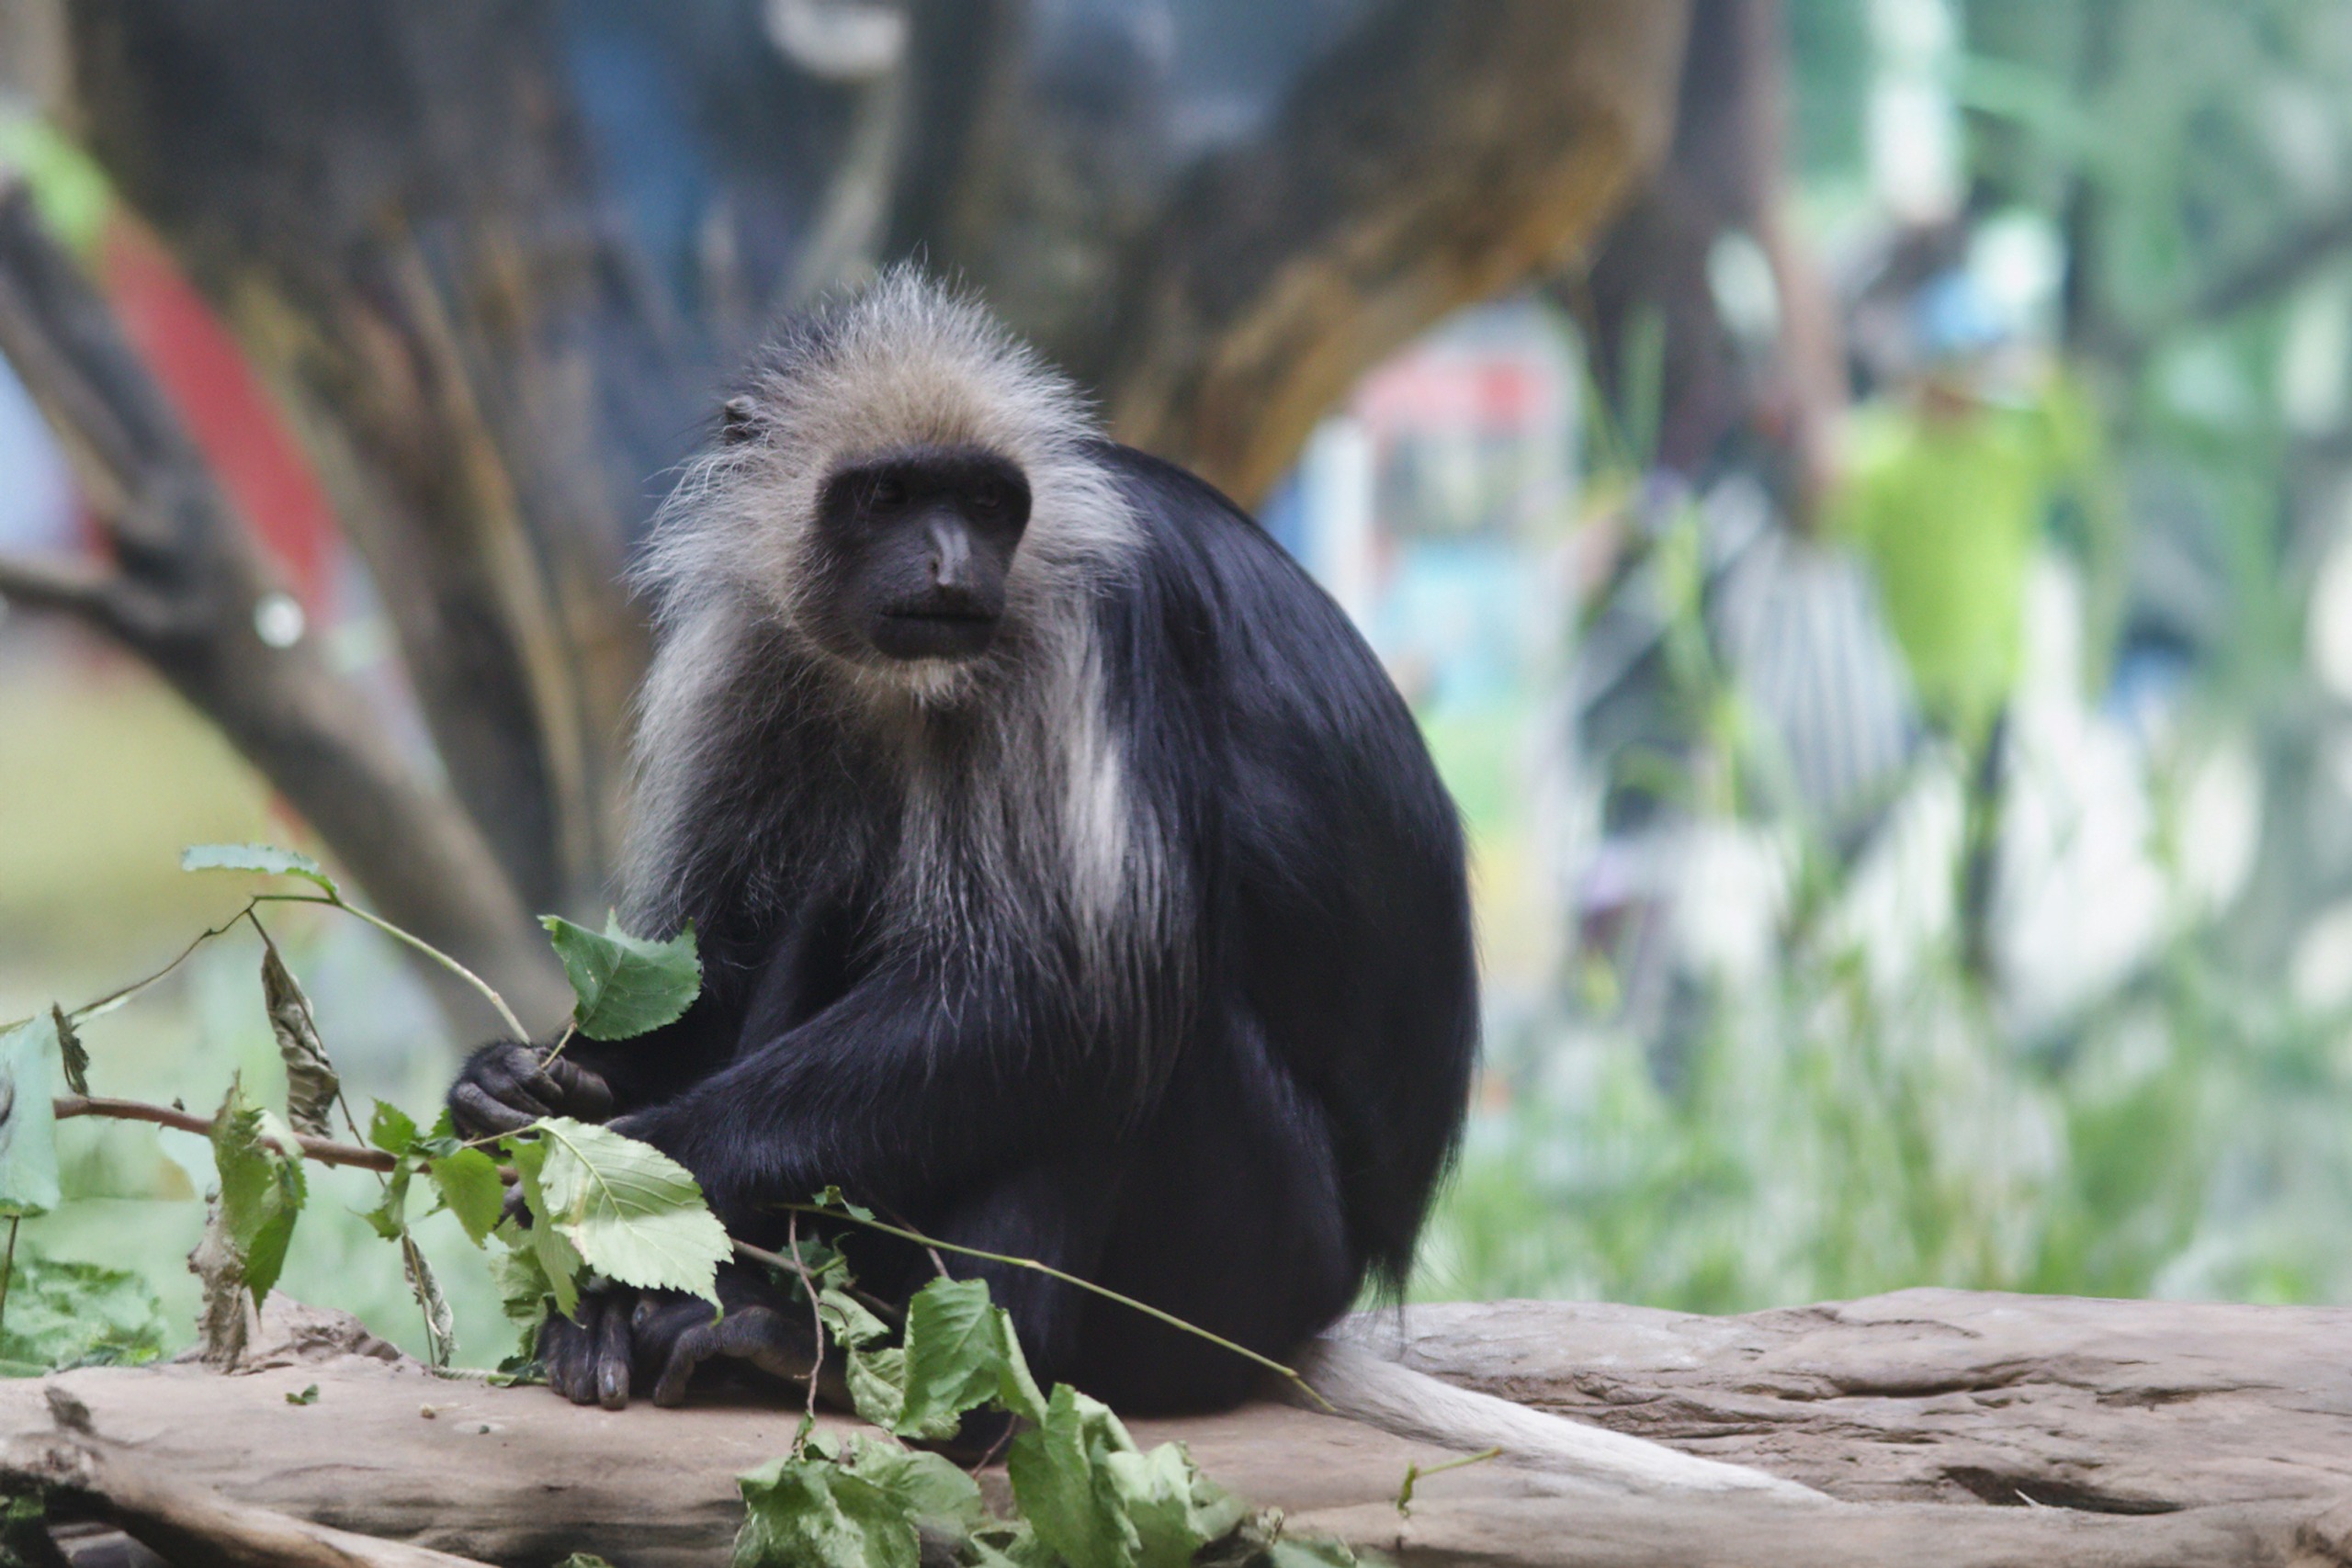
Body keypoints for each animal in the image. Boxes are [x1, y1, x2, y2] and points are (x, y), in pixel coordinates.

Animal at [448, 268, 1479, 1418]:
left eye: (984, 505)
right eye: (890, 498)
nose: (949, 568)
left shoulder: (1090, 623)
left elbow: (1060, 1002)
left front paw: (633, 1160)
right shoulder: (748, 646)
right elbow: (703, 977)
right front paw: (515, 1089)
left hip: (1244, 1270)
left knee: (1128, 1024)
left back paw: (931, 1374)